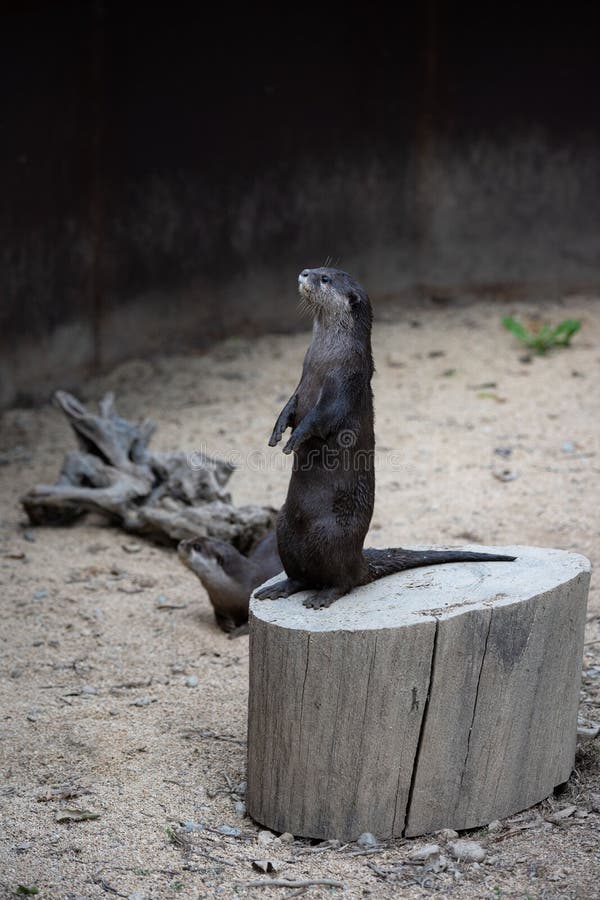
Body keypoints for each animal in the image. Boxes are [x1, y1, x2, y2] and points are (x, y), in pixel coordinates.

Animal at [255, 267, 515, 609]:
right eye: (317, 270)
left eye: (325, 279)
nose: (305, 272)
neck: (325, 360)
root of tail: (359, 560)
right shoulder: (302, 383)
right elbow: (290, 407)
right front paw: (276, 433)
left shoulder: (344, 384)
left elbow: (318, 420)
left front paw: (293, 440)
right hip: (284, 527)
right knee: (299, 575)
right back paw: (279, 587)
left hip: (333, 535)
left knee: (342, 581)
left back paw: (322, 596)